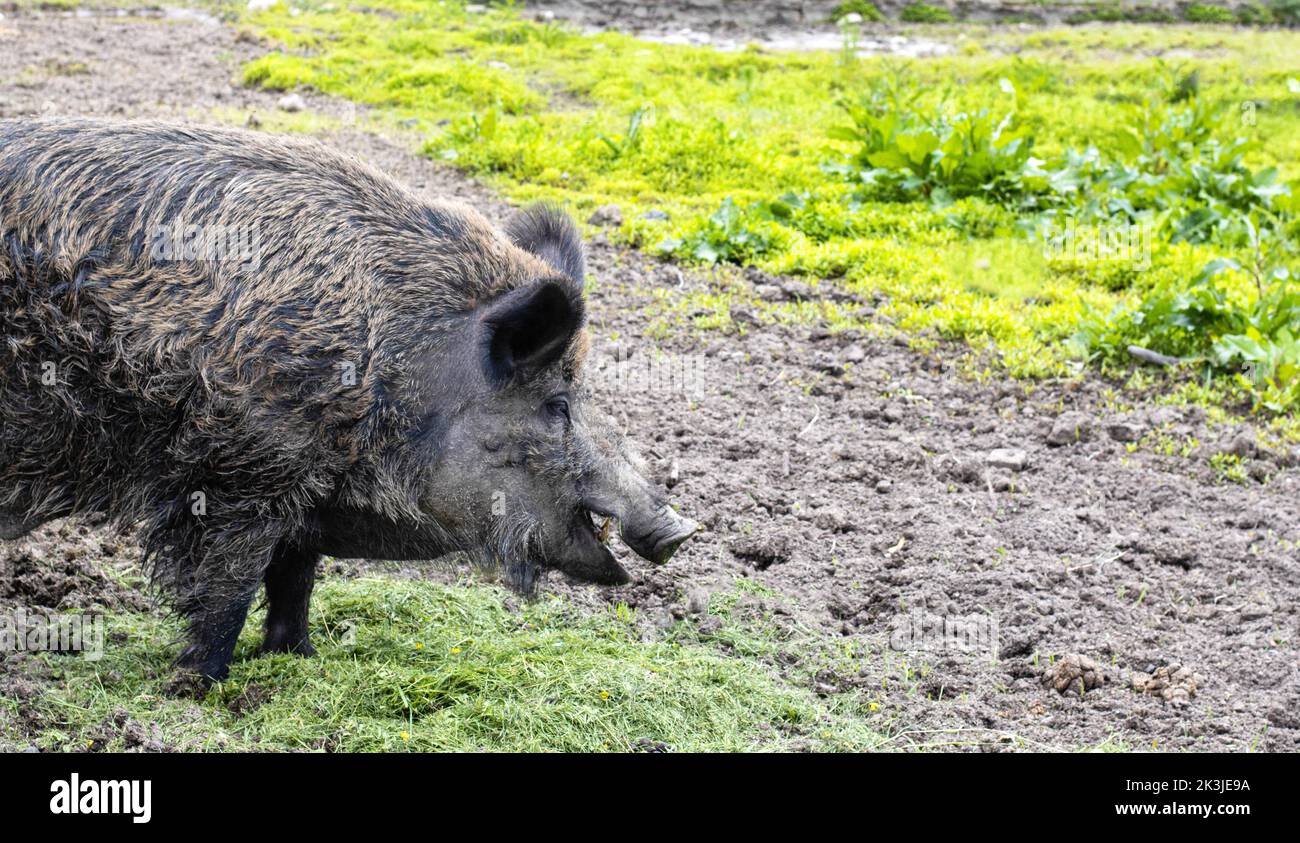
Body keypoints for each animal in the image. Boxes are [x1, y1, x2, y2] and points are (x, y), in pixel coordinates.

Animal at [0, 119, 697, 688]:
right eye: (555, 403)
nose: (682, 529)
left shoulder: (302, 492)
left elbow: (295, 578)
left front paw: (295, 658)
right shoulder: (241, 473)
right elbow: (228, 587)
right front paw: (198, 687)